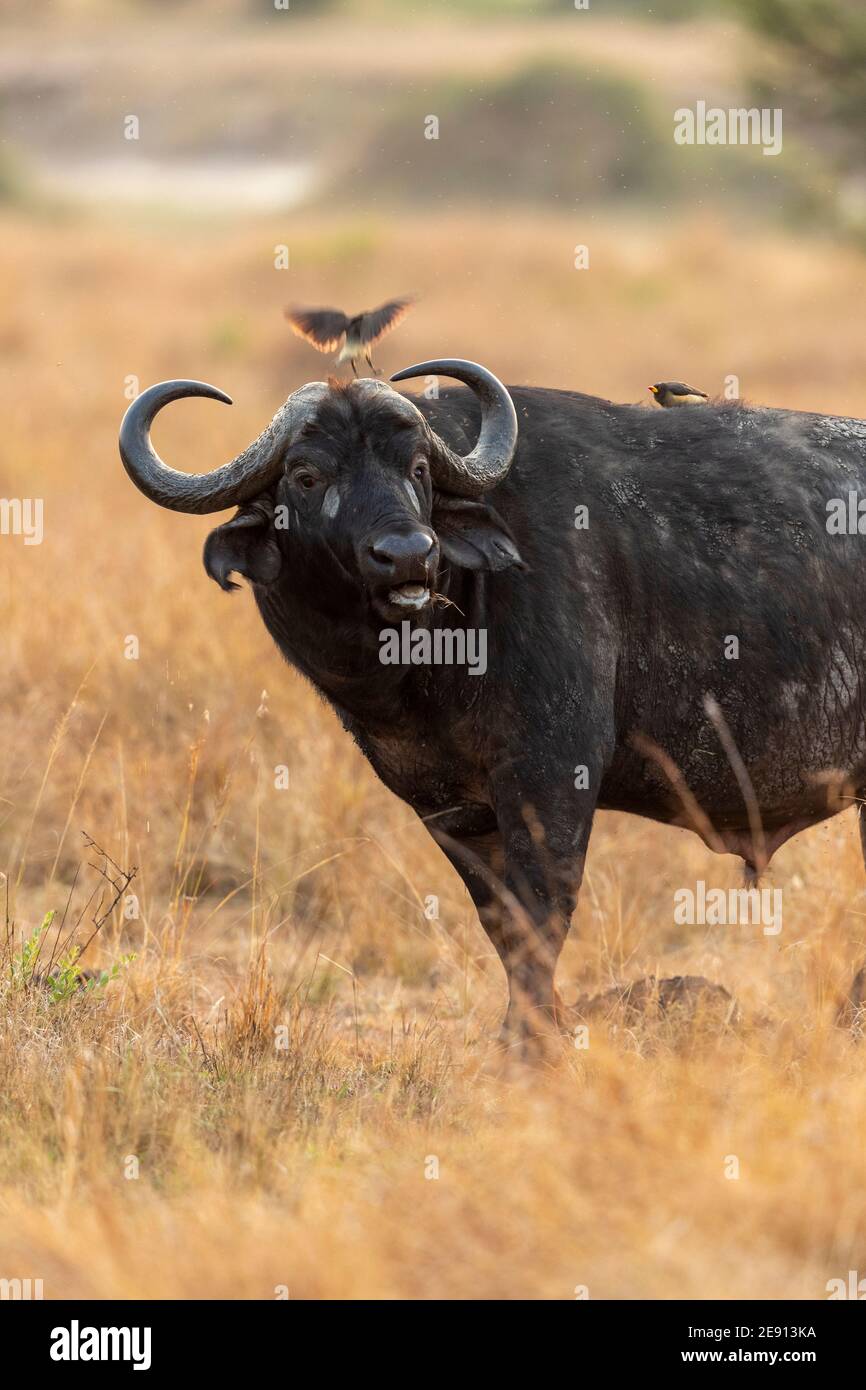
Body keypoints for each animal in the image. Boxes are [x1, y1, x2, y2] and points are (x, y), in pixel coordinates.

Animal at [120, 359, 866, 1046]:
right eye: (307, 476)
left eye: (419, 468)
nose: (407, 554)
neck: (434, 657)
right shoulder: (450, 807)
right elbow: (501, 922)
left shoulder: (552, 775)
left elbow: (542, 915)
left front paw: (533, 1048)